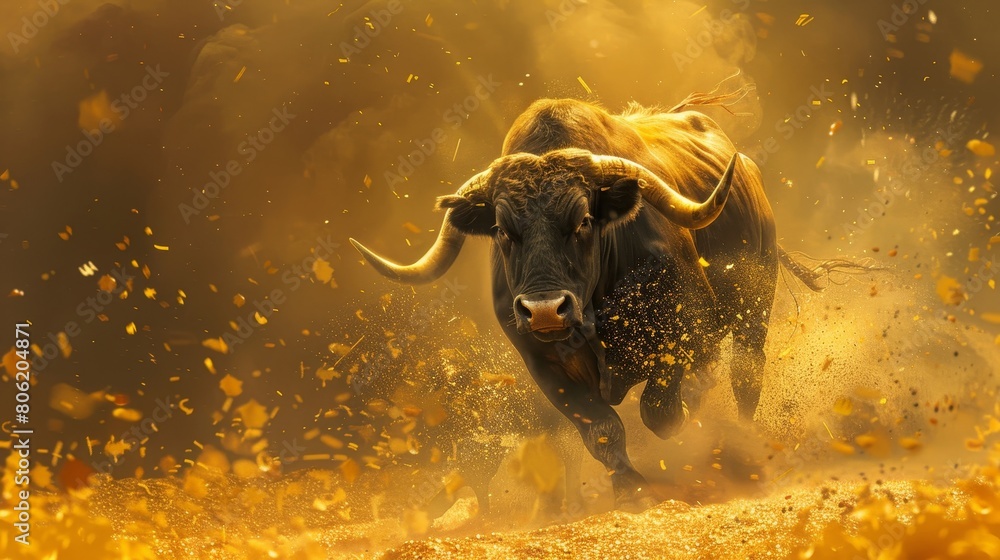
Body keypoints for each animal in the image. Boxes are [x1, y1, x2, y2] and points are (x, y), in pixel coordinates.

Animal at [350, 94, 849, 510]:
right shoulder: (546, 369)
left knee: (746, 376)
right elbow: (603, 431)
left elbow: (660, 411)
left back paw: (743, 439)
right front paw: (630, 489)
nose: (545, 310)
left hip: (753, 311)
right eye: (502, 231)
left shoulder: (682, 334)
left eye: (584, 221)